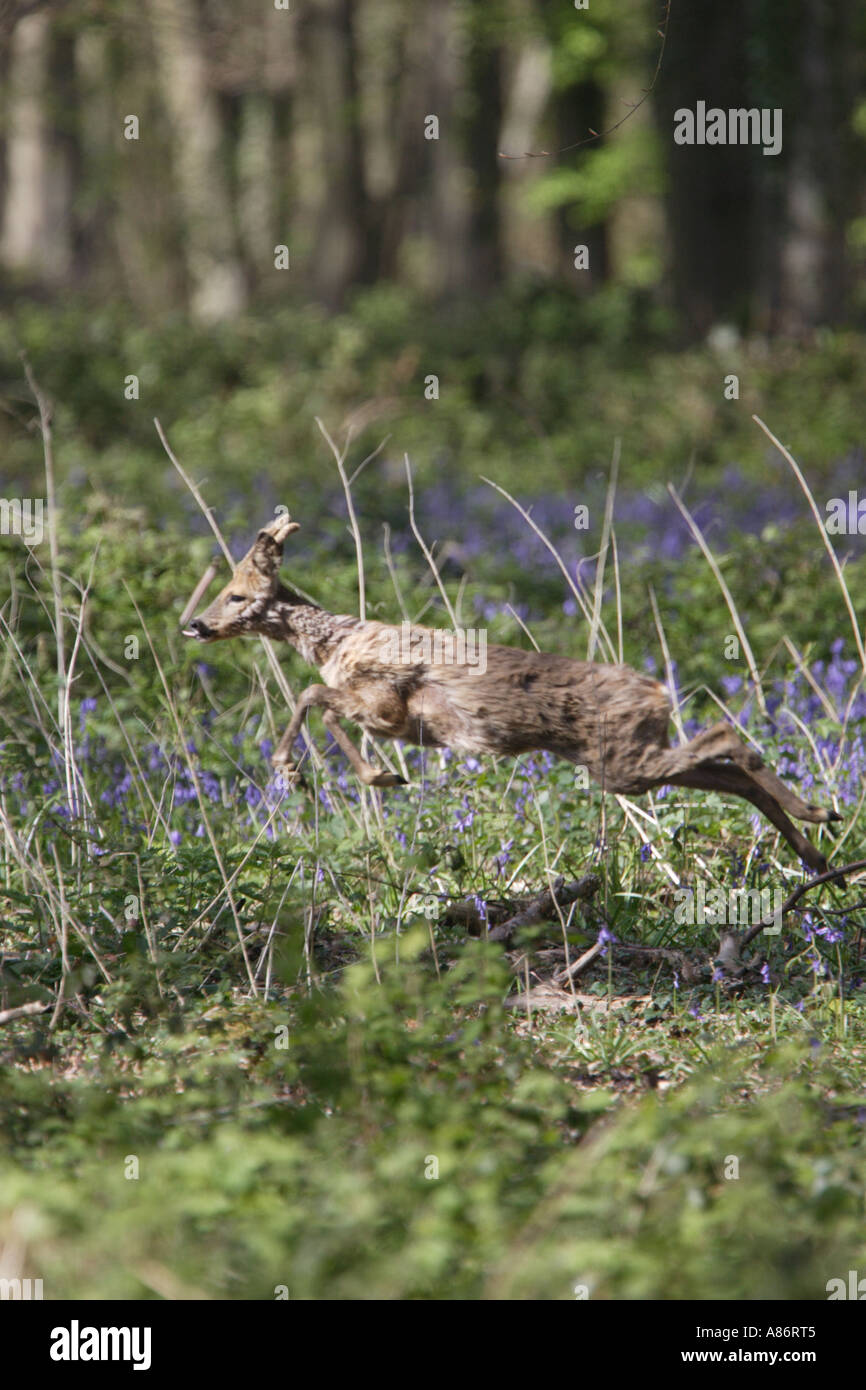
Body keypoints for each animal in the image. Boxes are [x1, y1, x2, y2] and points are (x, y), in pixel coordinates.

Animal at [182, 513, 840, 874]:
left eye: (238, 594)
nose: (196, 625)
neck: (336, 642)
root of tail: (657, 690)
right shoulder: (391, 717)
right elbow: (314, 699)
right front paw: (314, 773)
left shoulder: (389, 707)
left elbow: (313, 697)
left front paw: (351, 775)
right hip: (619, 764)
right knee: (730, 772)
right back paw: (816, 852)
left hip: (621, 760)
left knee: (727, 737)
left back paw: (820, 817)